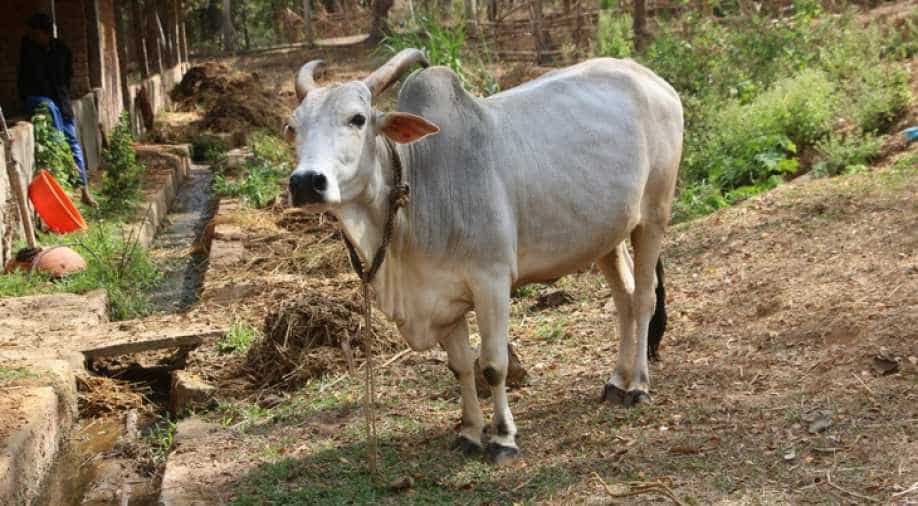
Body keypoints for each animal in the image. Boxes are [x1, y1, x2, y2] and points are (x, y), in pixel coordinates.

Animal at [285, 49, 683, 464]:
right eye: (293, 126)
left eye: (357, 119)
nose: (306, 182)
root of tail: (649, 77)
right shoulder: (444, 297)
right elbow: (460, 366)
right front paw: (470, 433)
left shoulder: (491, 281)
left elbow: (492, 365)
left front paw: (503, 437)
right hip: (606, 235)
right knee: (623, 299)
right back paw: (617, 381)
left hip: (653, 217)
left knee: (643, 299)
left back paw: (638, 385)